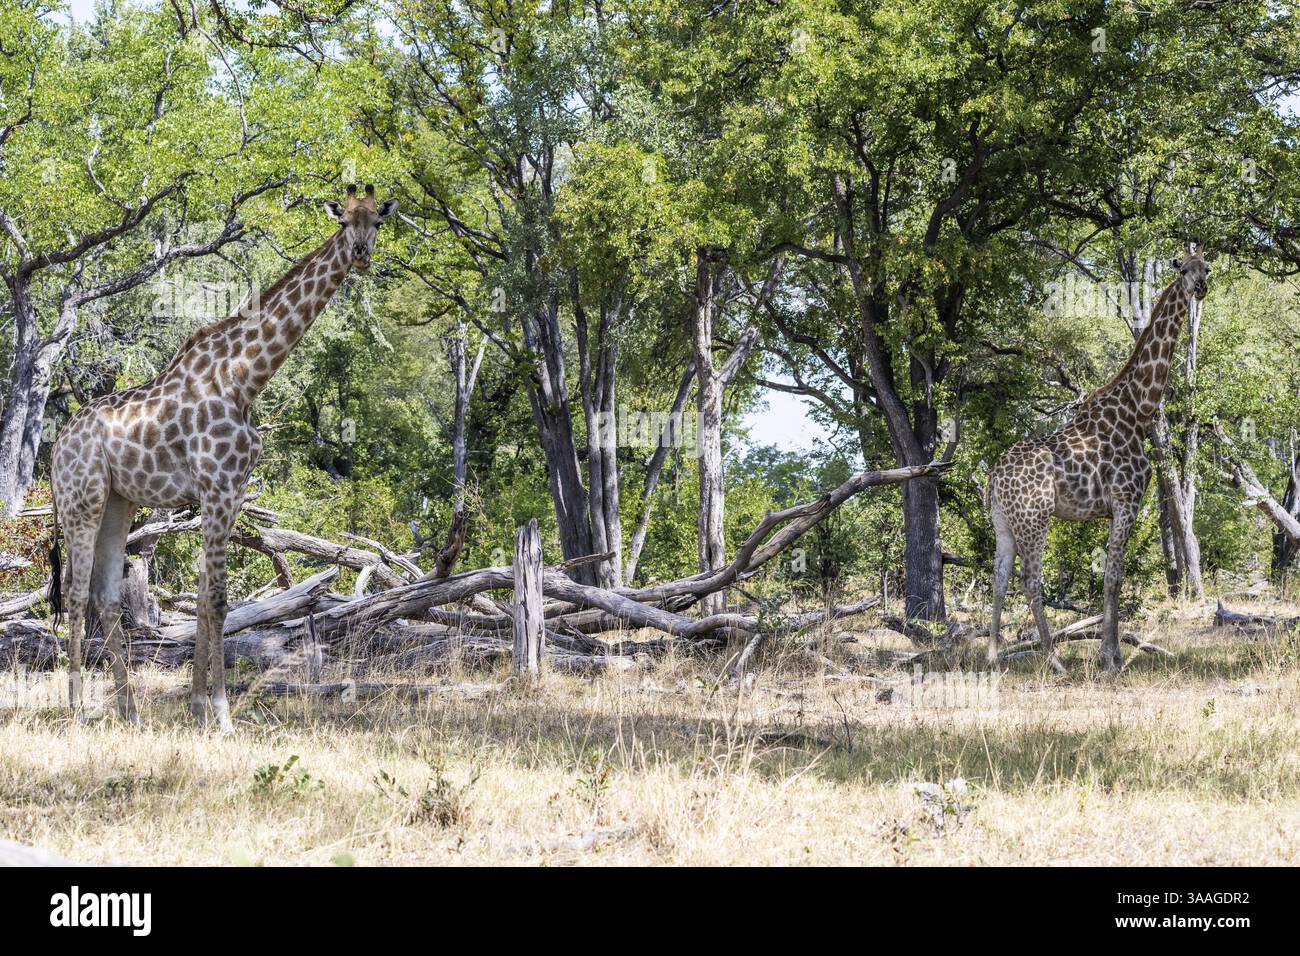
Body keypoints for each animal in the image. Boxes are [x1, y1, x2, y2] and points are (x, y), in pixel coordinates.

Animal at [50, 184, 397, 729]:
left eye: (376, 222)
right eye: (343, 221)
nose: (361, 254)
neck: (245, 378)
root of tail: (57, 446)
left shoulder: (231, 492)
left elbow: (207, 599)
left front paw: (197, 708)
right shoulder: (215, 486)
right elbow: (215, 598)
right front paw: (221, 713)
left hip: (117, 502)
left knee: (105, 594)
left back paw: (130, 711)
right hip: (80, 498)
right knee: (76, 590)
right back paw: (77, 709)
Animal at [986, 248, 1209, 673]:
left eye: (1206, 267)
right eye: (1183, 269)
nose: (1200, 286)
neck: (1139, 411)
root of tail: (993, 477)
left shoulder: (1114, 508)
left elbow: (1112, 579)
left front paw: (1113, 653)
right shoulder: (1125, 501)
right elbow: (1113, 579)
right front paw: (1110, 658)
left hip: (1003, 522)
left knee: (1000, 576)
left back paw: (992, 655)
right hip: (1035, 518)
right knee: (1031, 580)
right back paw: (1054, 661)